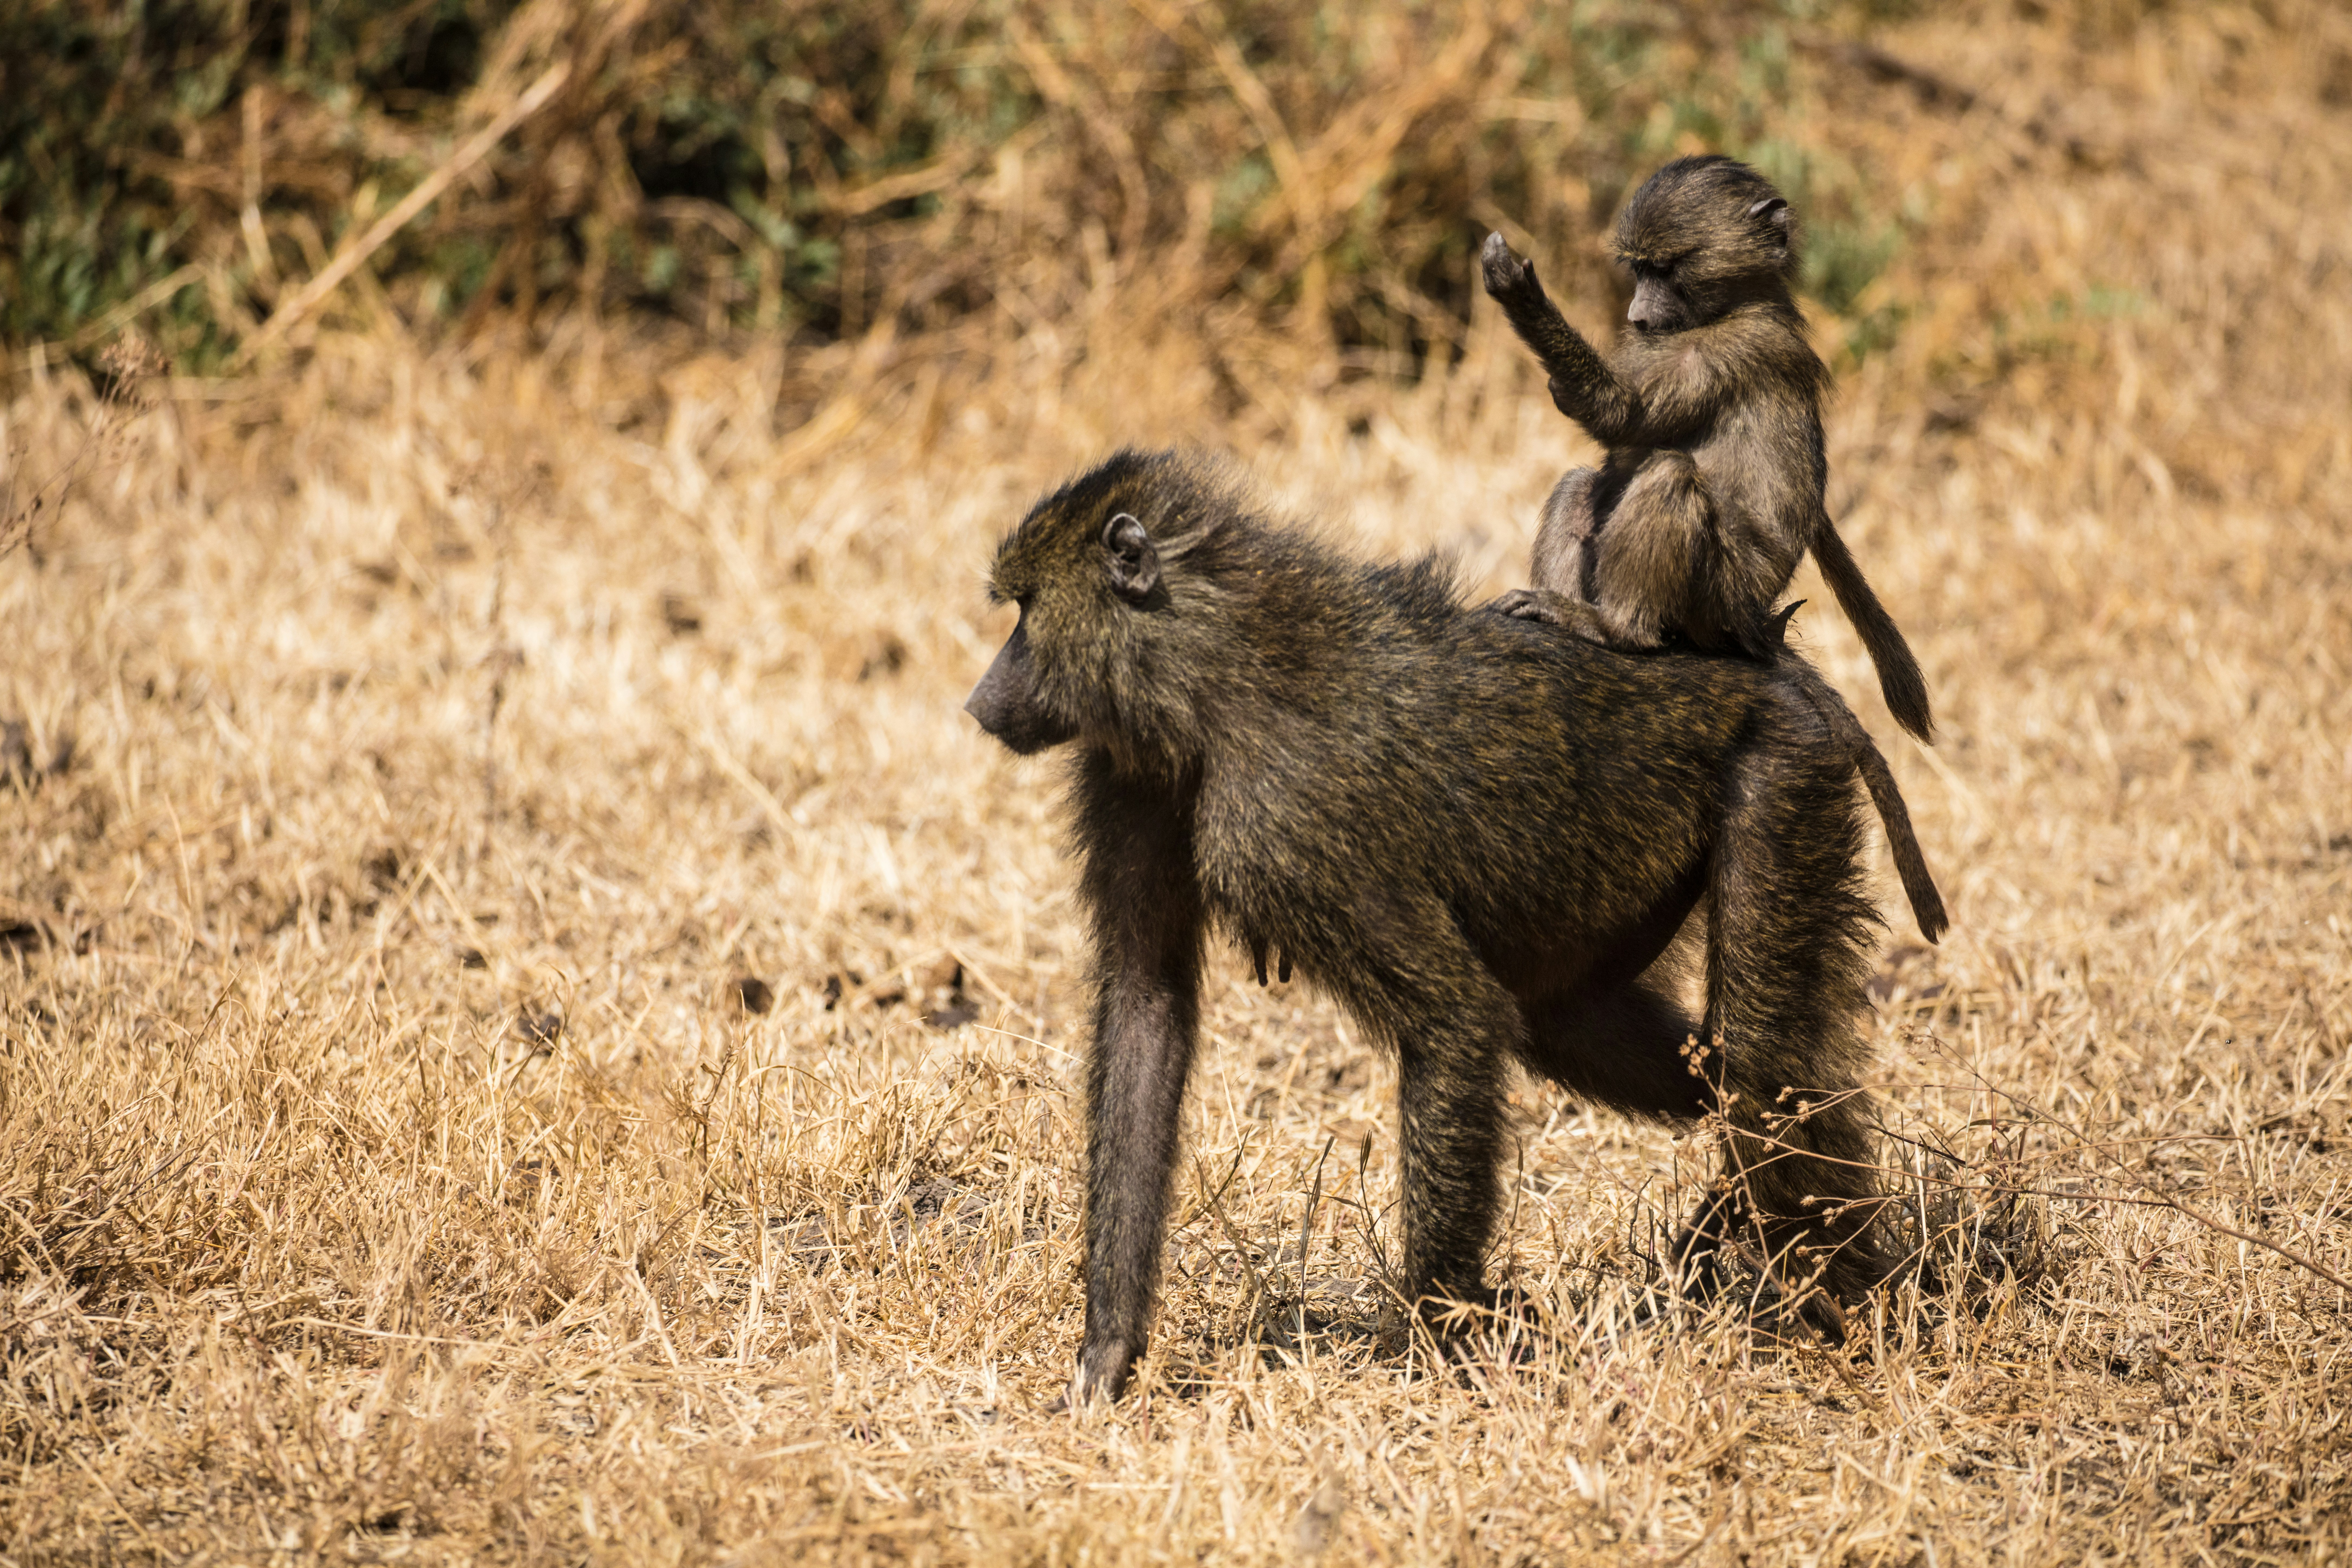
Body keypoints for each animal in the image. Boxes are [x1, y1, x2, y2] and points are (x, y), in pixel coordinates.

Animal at [965, 448, 1945, 1406]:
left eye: (1023, 611)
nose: (980, 702)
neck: (1209, 664)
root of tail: (1761, 671)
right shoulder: (1130, 777)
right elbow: (1145, 1011)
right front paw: (1107, 1357)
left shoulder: (1286, 821)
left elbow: (1453, 1018)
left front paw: (1439, 1344)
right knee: (1632, 1045)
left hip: (1779, 773)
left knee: (1758, 1066)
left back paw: (1858, 1310)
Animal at [1479, 155, 1934, 744]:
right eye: (1639, 270)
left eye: (1667, 268)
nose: (1637, 319)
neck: (1738, 306)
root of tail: (1756, 626)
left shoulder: (1734, 353)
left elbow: (1622, 416)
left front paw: (1518, 290)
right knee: (1582, 485)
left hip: (1720, 600)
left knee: (1669, 474)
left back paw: (1617, 628)